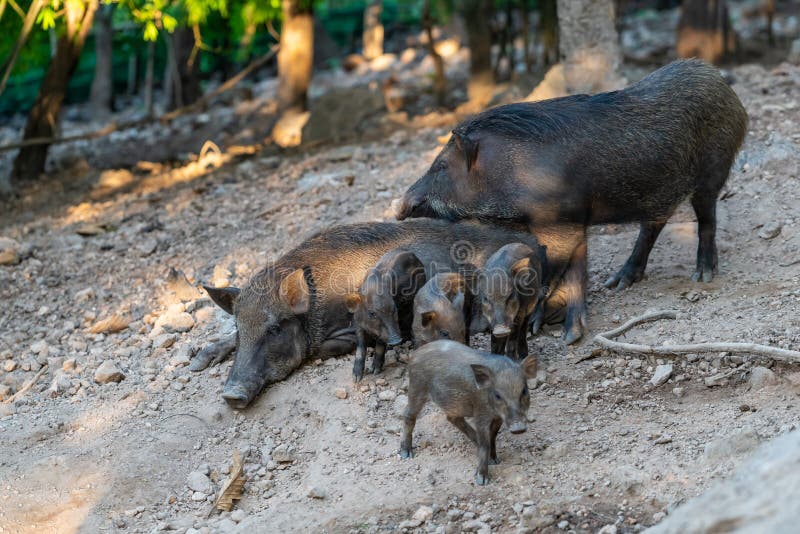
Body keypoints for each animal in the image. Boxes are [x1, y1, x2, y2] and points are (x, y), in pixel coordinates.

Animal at [394, 59, 748, 345]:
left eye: (441, 166)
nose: (400, 205)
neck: (512, 172)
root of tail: (724, 85)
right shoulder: (574, 221)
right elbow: (576, 272)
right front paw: (561, 332)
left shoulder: (560, 224)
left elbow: (553, 274)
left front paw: (561, 335)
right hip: (659, 192)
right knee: (653, 226)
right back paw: (618, 283)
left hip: (712, 172)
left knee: (707, 219)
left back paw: (703, 276)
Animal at [400, 340, 538, 485]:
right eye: (498, 395)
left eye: (524, 391)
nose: (519, 428)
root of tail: (414, 354)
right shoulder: (480, 414)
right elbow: (485, 443)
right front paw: (482, 480)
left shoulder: (498, 418)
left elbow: (492, 437)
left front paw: (495, 460)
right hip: (416, 389)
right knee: (408, 414)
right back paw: (406, 454)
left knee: (452, 418)